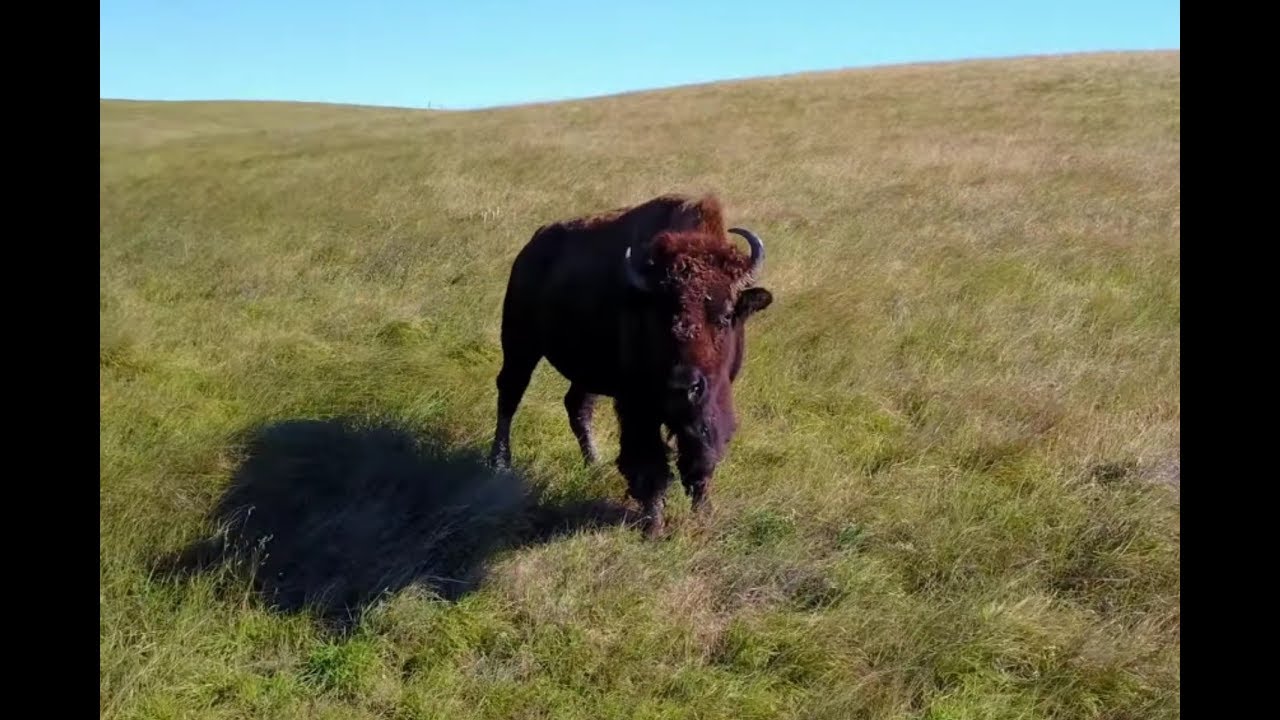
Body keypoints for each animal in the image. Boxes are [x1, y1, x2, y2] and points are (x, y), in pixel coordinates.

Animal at [488, 193, 774, 537]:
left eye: (726, 314)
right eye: (663, 312)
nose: (683, 386)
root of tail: (532, 247)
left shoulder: (710, 403)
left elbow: (700, 454)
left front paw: (704, 515)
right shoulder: (638, 406)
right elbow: (648, 462)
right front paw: (654, 527)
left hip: (587, 370)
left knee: (577, 406)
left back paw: (594, 464)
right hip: (520, 342)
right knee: (510, 393)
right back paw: (499, 465)